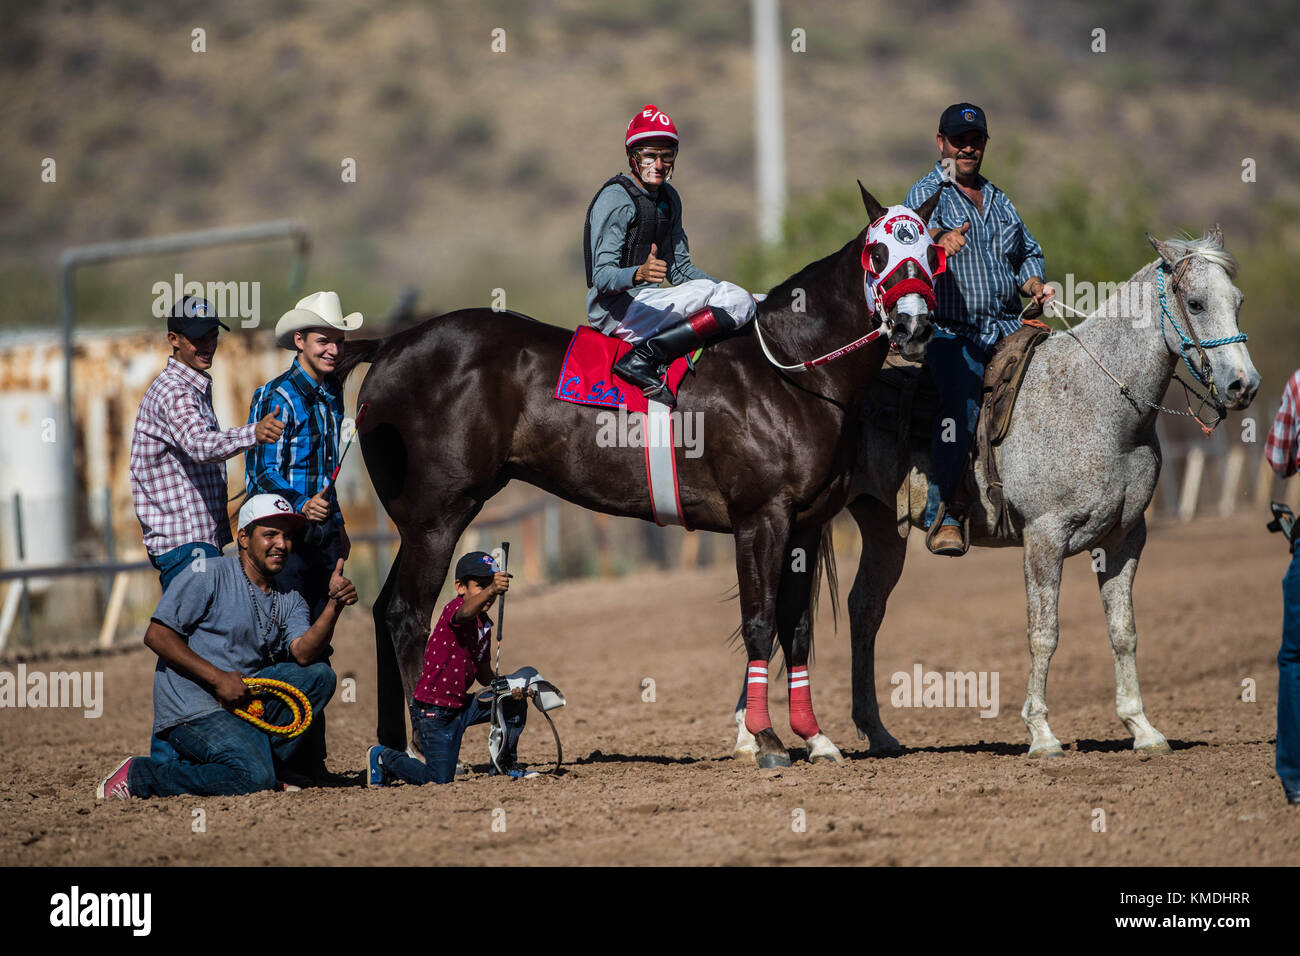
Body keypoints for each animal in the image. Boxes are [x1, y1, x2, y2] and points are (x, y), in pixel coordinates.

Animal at [336, 185, 943, 770]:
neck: (788, 372)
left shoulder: (806, 527)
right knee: (408, 614)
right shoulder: (761, 518)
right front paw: (766, 740)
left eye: (931, 252)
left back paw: (393, 746)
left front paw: (815, 738)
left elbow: (796, 631)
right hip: (438, 516)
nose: (914, 327)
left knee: (382, 610)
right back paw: (426, 745)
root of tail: (390, 343)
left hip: (417, 523)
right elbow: (759, 622)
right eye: (879, 253)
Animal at [732, 228, 1260, 760]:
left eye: (1238, 301)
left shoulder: (1126, 538)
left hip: (880, 528)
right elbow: (1043, 633)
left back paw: (874, 732)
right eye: (1195, 303)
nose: (1244, 385)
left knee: (864, 612)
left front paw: (1143, 728)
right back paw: (751, 739)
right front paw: (1042, 734)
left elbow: (1123, 631)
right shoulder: (1046, 538)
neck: (1098, 402)